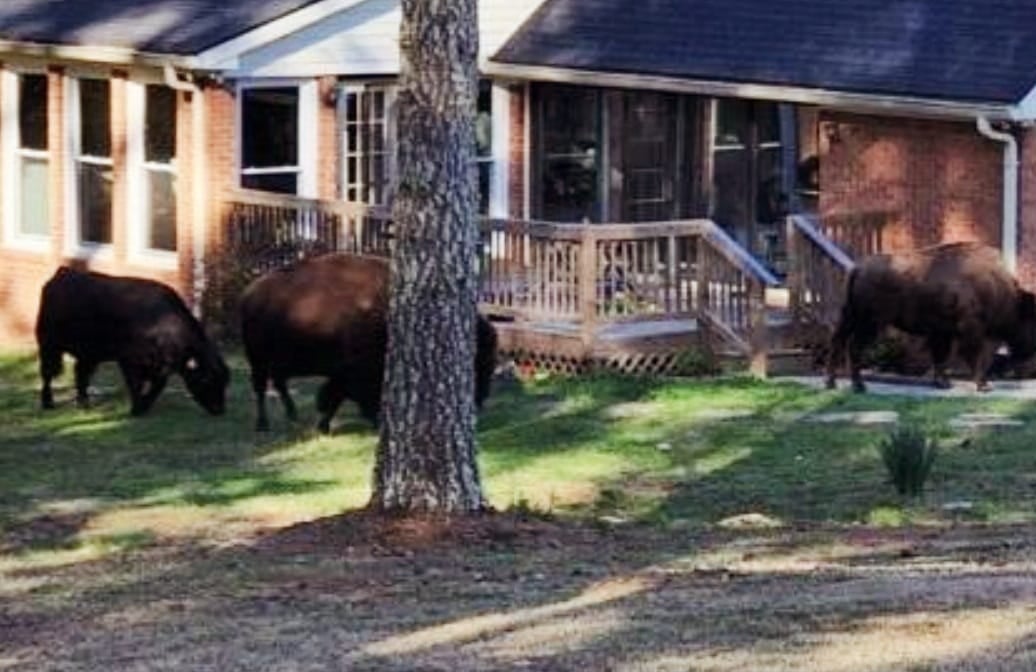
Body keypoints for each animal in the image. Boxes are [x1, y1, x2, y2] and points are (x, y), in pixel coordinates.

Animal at [36, 267, 229, 415]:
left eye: (224, 381)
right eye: (206, 379)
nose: (219, 410)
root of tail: (62, 273)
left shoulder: (158, 369)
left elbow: (157, 387)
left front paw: (143, 406)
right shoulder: (129, 361)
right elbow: (135, 384)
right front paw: (136, 409)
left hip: (89, 355)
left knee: (81, 375)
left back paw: (84, 404)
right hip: (48, 345)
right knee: (47, 374)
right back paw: (48, 403)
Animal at [240, 253, 498, 433]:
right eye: (478, 360)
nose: (481, 398)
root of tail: (250, 293)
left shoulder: (344, 373)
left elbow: (335, 396)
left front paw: (324, 425)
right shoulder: (356, 371)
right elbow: (346, 396)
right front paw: (371, 422)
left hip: (277, 362)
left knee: (279, 383)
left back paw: (292, 414)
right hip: (258, 361)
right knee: (261, 389)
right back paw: (263, 424)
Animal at [826, 242, 1036, 392]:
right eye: (1030, 321)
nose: (1029, 356)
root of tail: (858, 268)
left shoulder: (942, 332)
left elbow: (940, 357)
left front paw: (942, 383)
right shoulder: (970, 330)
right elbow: (972, 355)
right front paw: (982, 385)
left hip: (850, 317)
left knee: (837, 342)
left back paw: (831, 383)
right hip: (870, 323)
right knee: (854, 347)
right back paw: (858, 386)